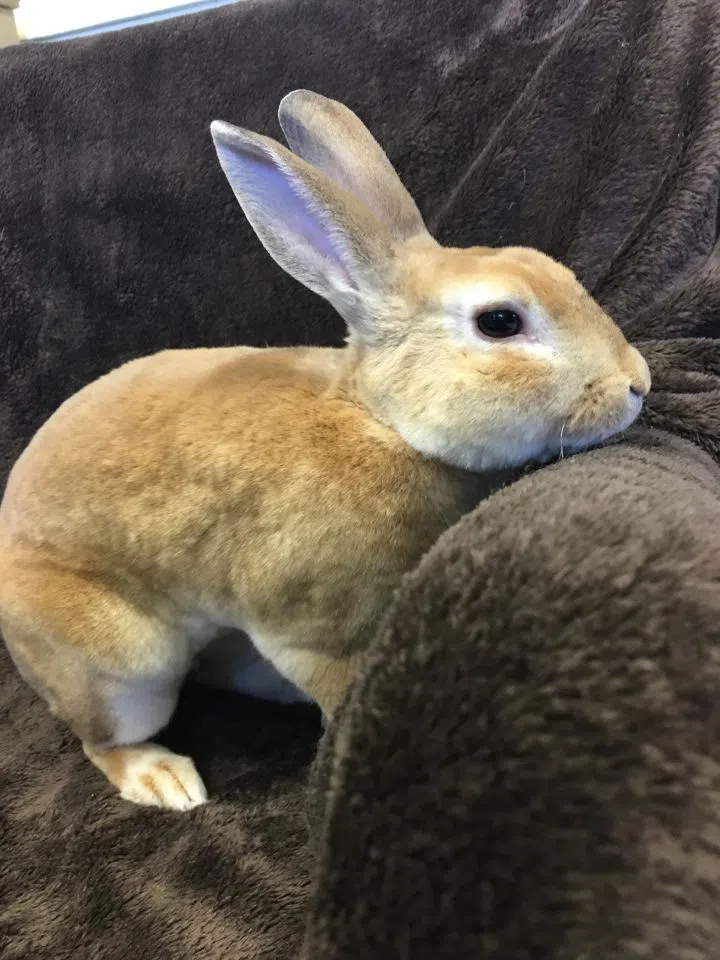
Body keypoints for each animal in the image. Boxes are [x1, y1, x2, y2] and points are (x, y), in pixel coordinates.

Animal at [0, 90, 650, 810]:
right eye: (500, 322)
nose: (638, 383)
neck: (381, 421)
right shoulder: (311, 634)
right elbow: (337, 684)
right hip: (123, 672)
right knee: (105, 737)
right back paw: (165, 780)